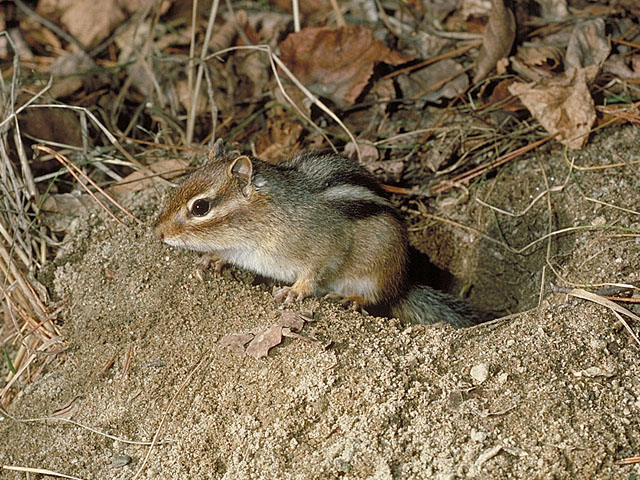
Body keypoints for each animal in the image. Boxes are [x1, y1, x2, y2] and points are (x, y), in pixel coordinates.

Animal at [155, 140, 483, 328]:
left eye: (200, 207)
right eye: (183, 180)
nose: (158, 232)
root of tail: (404, 283)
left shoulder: (326, 247)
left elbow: (314, 273)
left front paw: (294, 291)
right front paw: (212, 259)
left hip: (377, 270)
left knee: (377, 296)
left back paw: (350, 299)